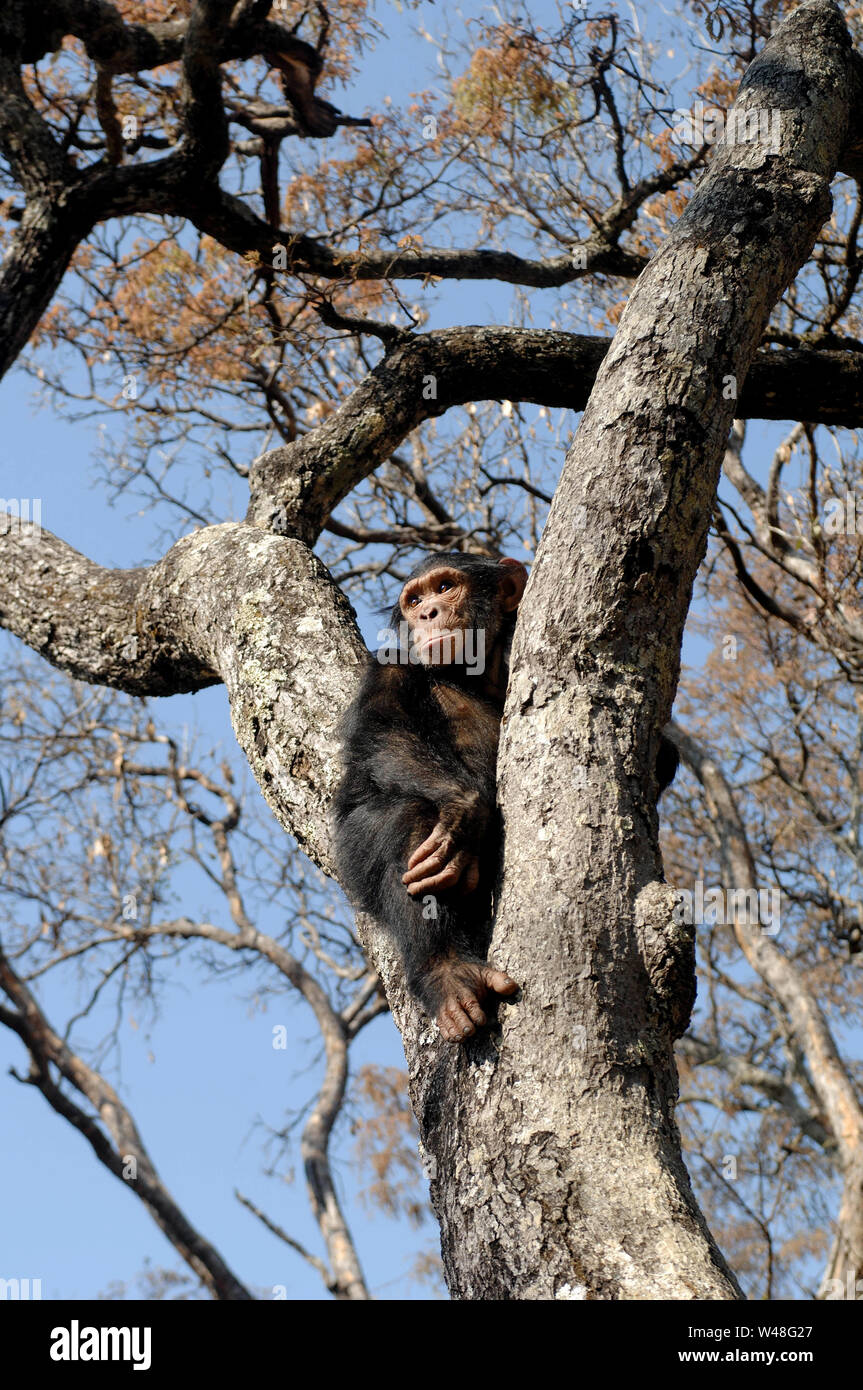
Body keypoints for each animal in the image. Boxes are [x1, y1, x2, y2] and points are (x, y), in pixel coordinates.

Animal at [332, 551, 679, 1043]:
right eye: (414, 600)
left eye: (444, 588)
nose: (427, 613)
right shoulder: (391, 667)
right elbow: (386, 727)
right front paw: (463, 809)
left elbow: (664, 755)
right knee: (407, 821)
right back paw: (447, 971)